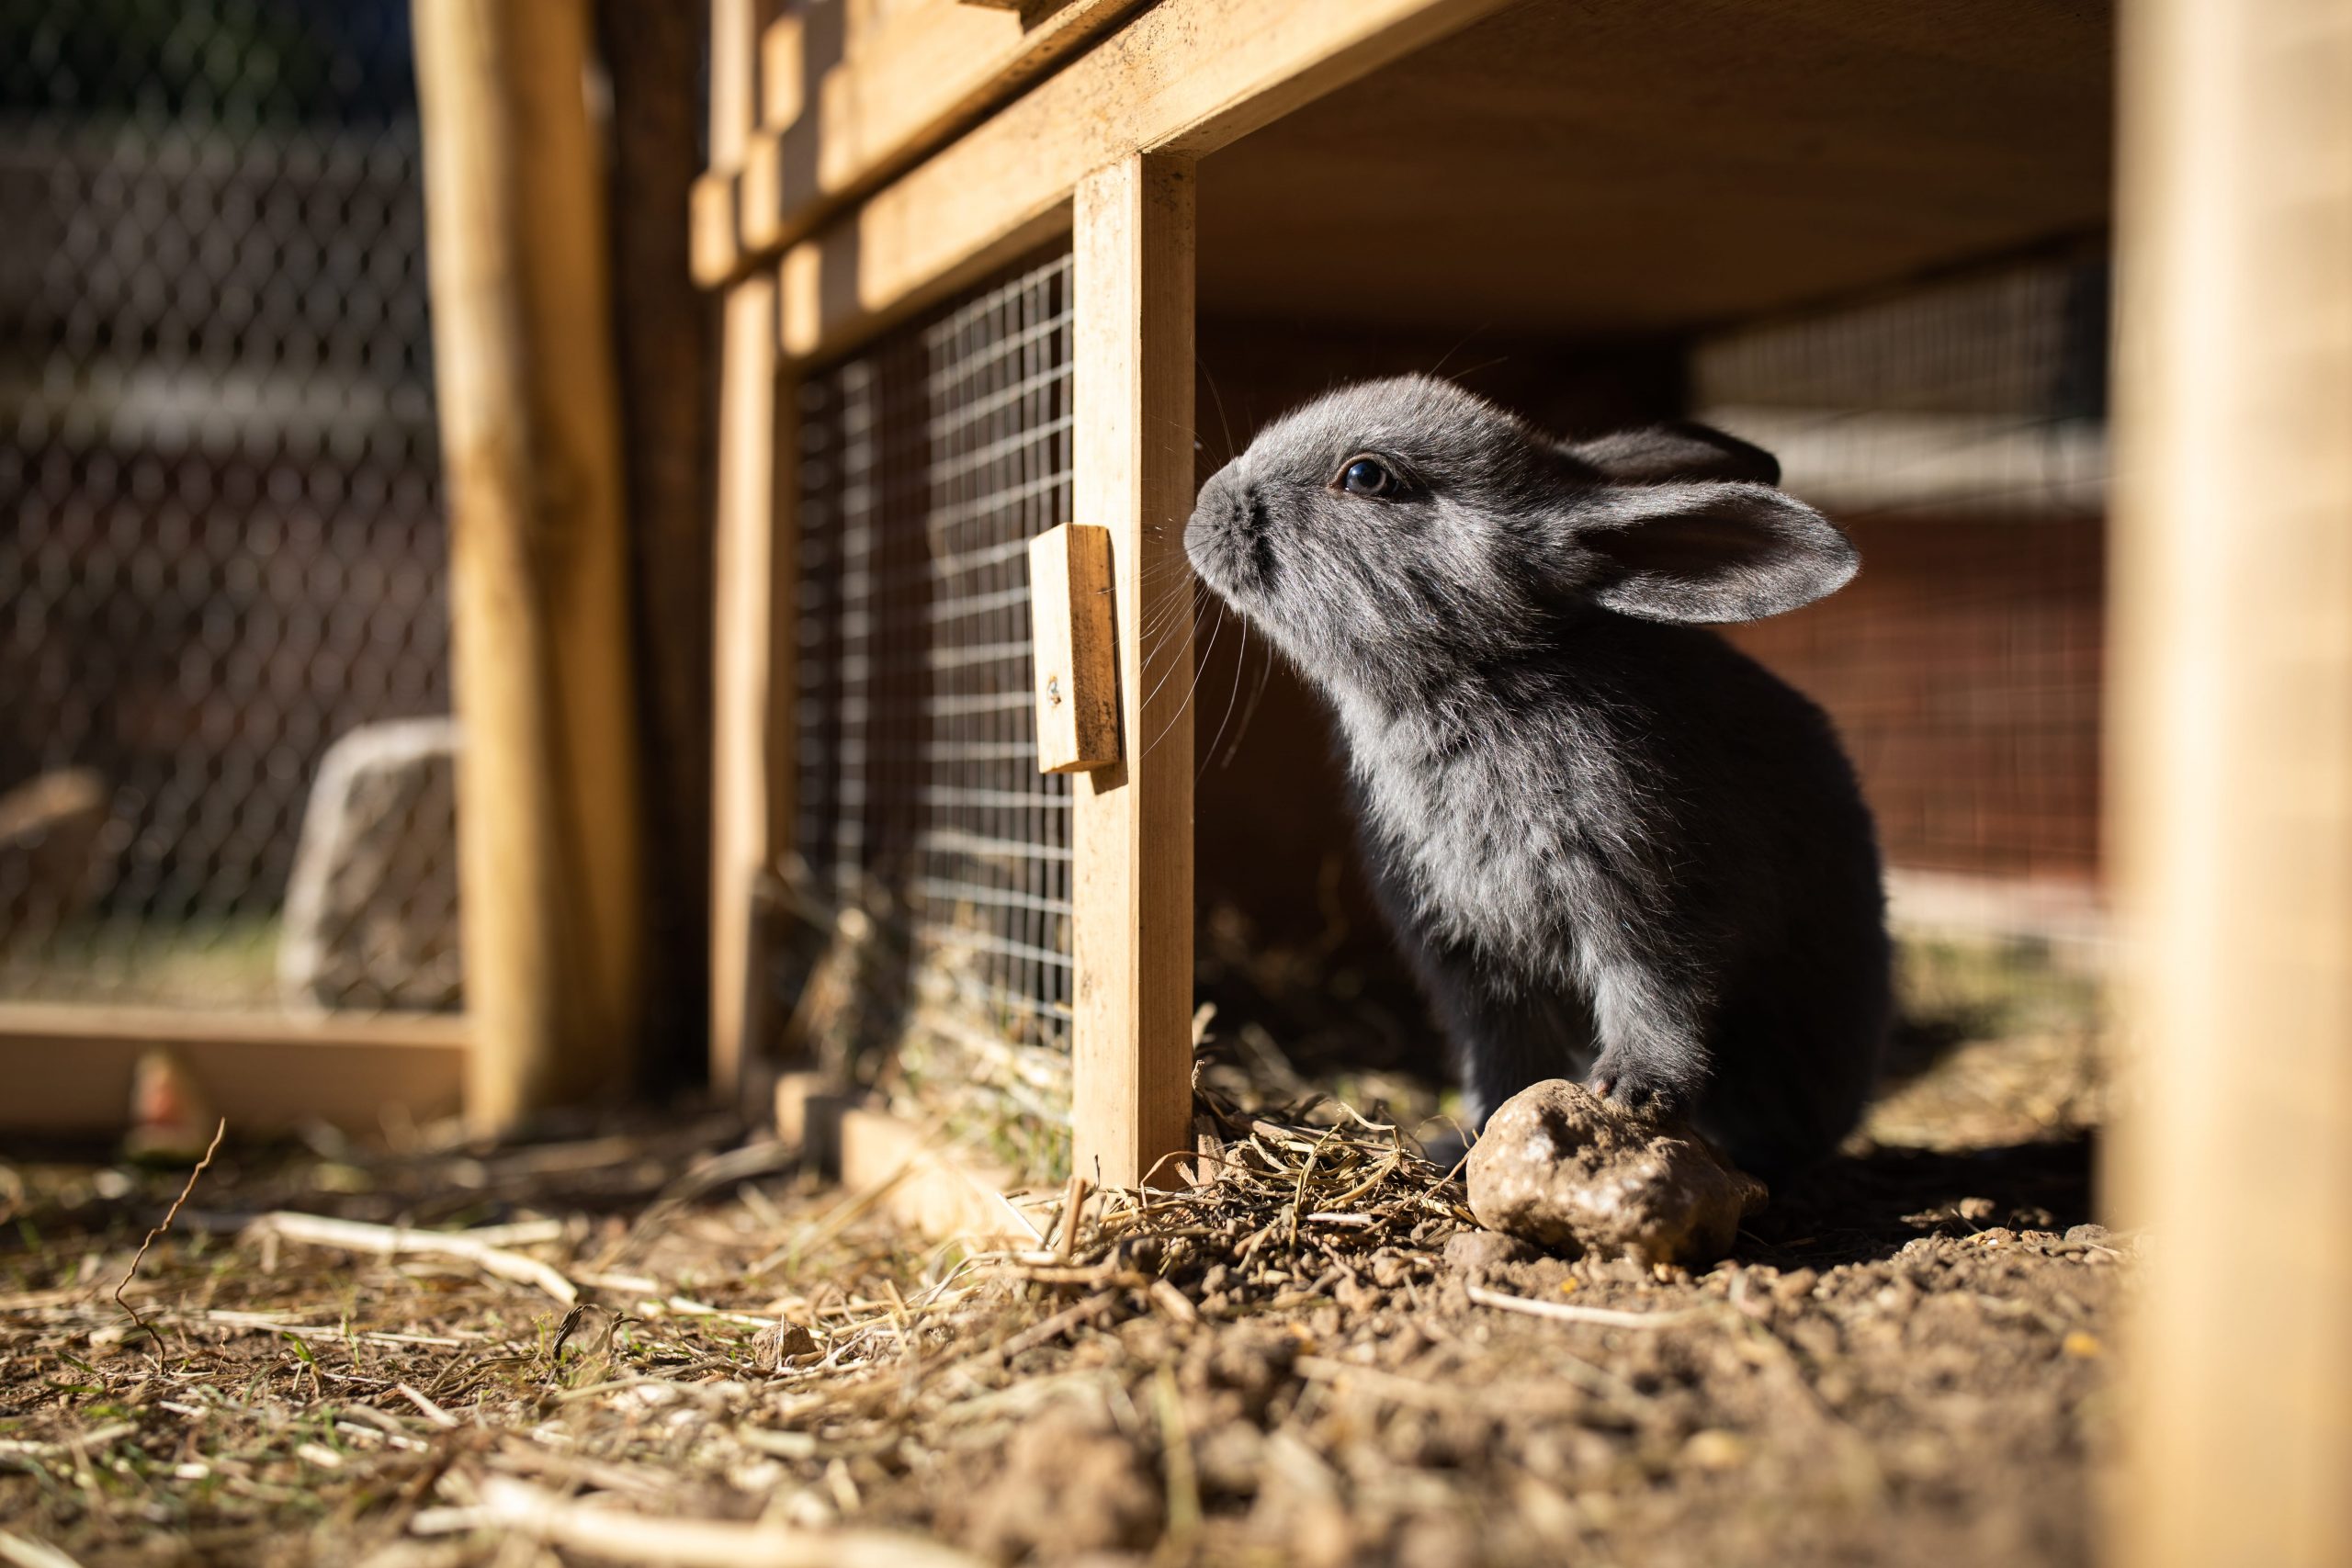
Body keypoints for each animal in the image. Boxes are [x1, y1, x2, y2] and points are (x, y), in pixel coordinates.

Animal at [1183, 374, 1890, 1178]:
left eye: (1367, 476)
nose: (1203, 509)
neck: (1474, 678)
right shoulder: (1472, 966)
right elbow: (1504, 1060)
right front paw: (1473, 1140)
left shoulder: (1650, 901)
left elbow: (1658, 1001)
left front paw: (1633, 1092)